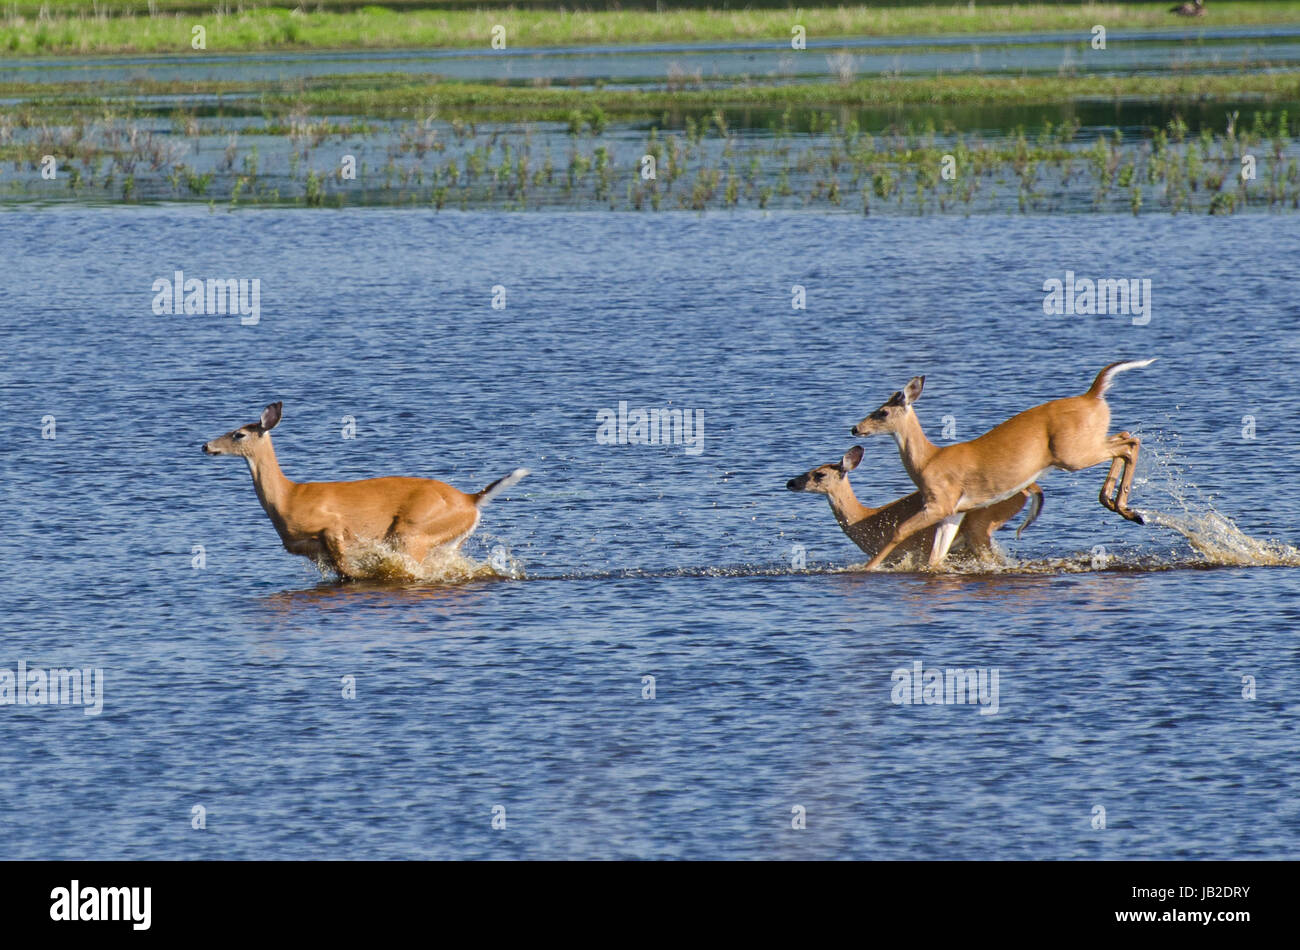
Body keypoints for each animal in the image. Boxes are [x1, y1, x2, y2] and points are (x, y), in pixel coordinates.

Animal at [202, 402, 528, 580]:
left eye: (238, 434)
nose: (205, 445)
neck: (288, 498)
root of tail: (471, 499)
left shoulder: (333, 527)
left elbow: (349, 572)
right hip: (448, 541)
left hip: (412, 532)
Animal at [786, 446, 1042, 568]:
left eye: (819, 474)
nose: (790, 482)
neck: (867, 520)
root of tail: (1029, 488)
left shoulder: (903, 553)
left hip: (978, 526)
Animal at [850, 359, 1155, 571]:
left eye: (882, 411)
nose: (855, 428)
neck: (928, 461)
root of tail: (1092, 395)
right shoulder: (954, 511)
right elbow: (936, 555)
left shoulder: (939, 503)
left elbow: (899, 531)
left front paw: (867, 568)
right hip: (1086, 445)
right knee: (1127, 437)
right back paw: (1124, 508)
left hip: (1073, 455)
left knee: (1129, 444)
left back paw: (1124, 508)